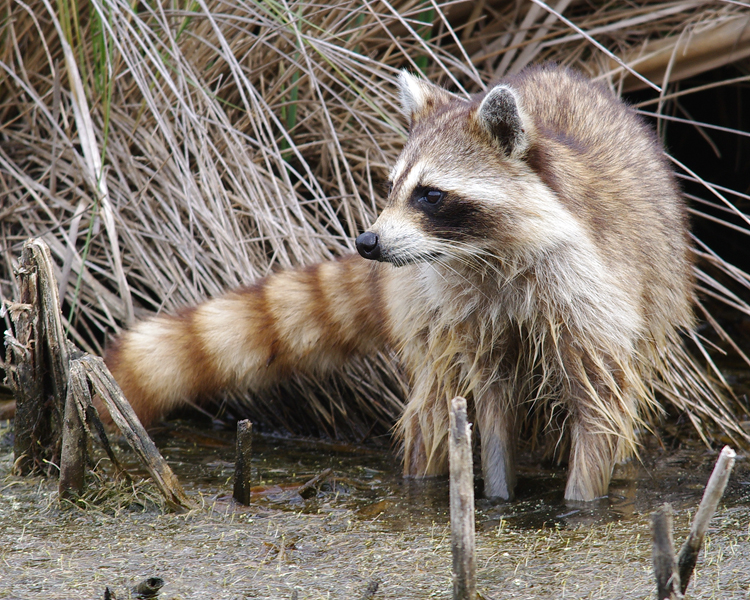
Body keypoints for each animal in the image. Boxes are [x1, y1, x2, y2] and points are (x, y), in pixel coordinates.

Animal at [106, 64, 708, 502]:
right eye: (392, 185)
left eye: (430, 195)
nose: (367, 243)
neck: (488, 254)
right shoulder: (468, 311)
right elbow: (488, 406)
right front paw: (497, 494)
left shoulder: (591, 291)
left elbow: (600, 405)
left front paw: (583, 500)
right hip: (426, 310)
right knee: (435, 405)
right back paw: (422, 478)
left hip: (659, 282)